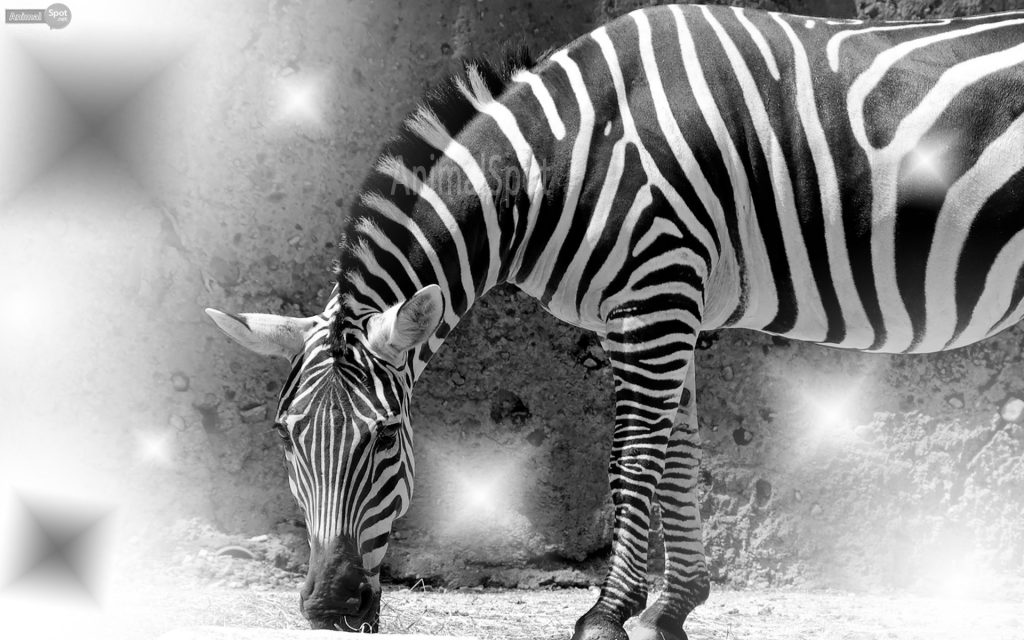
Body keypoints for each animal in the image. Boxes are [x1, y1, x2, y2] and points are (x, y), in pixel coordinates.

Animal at [205, 5, 1024, 639]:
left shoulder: (654, 296)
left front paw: (606, 614)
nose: (325, 609)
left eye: (382, 437)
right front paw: (670, 610)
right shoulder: (672, 306)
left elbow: (632, 463)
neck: (559, 166)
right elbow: (678, 459)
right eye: (283, 436)